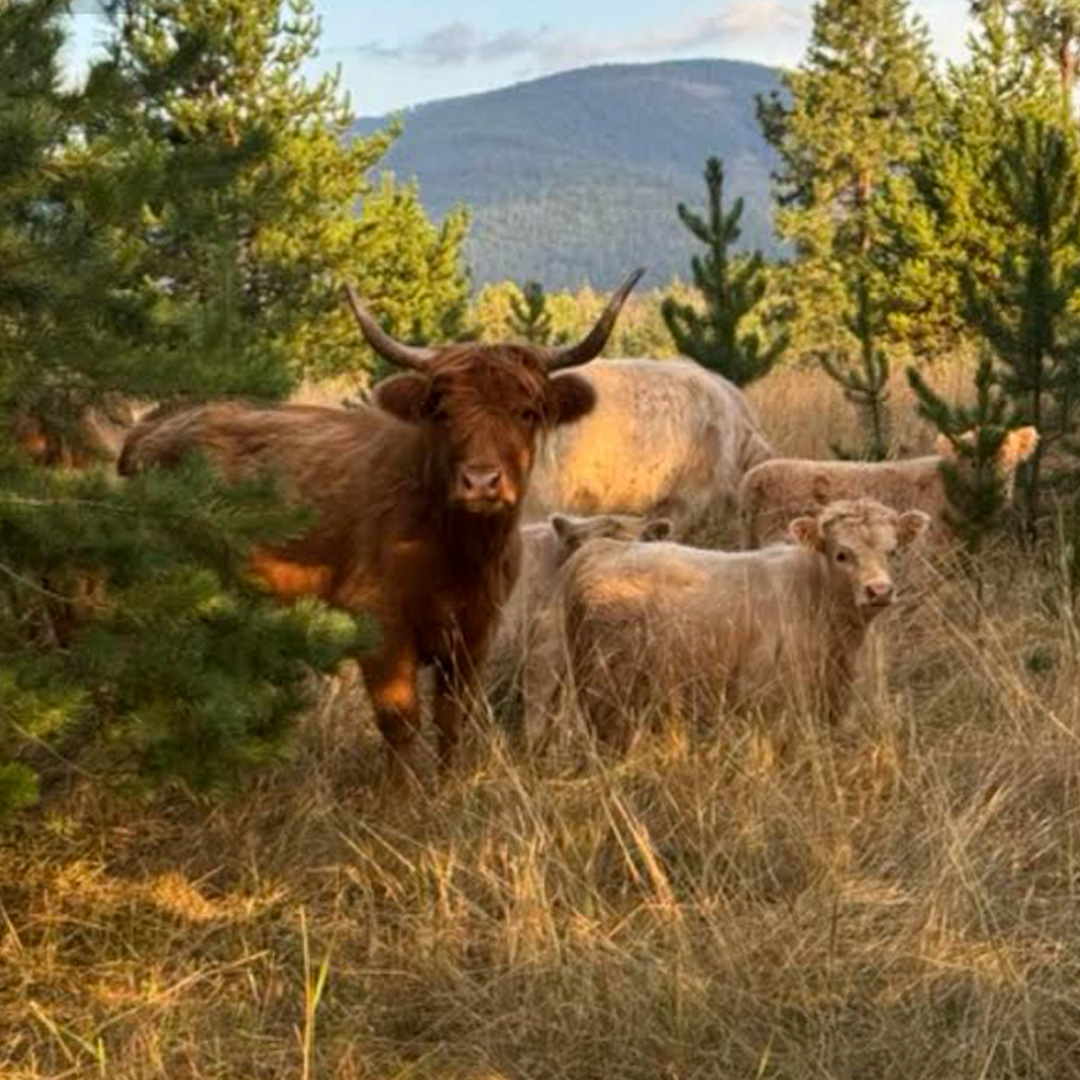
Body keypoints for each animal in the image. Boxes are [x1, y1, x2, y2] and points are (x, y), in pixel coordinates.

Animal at [118, 270, 645, 784]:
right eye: (443, 411)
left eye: (527, 411)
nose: (481, 482)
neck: (458, 549)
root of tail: (152, 426)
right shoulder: (381, 626)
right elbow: (401, 720)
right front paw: (400, 797)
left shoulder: (476, 630)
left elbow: (453, 718)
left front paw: (448, 790)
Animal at [561, 498, 930, 749]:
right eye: (842, 554)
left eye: (892, 552)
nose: (879, 590)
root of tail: (601, 549)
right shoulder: (766, 706)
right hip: (604, 693)